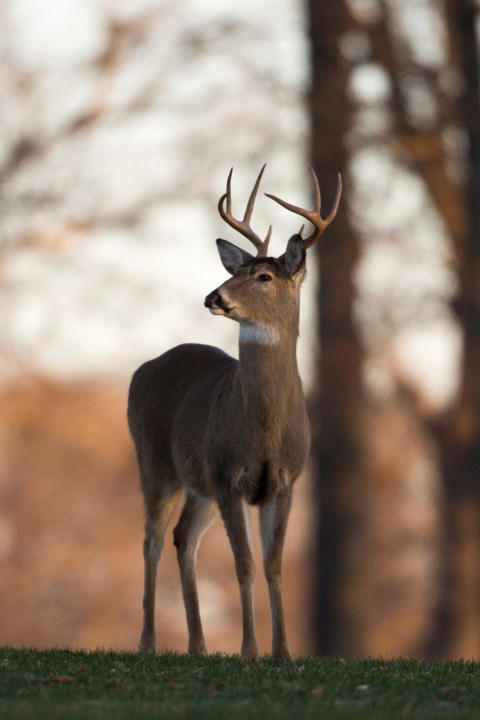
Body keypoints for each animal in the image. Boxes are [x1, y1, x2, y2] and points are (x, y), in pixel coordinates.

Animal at [127, 164, 341, 662]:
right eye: (235, 270)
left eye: (263, 276)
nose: (214, 297)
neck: (264, 431)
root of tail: (142, 370)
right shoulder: (229, 477)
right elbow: (244, 564)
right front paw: (248, 650)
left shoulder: (285, 482)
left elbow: (273, 565)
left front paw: (282, 653)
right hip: (154, 461)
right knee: (151, 539)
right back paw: (147, 642)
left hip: (198, 483)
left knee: (183, 537)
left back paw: (198, 645)